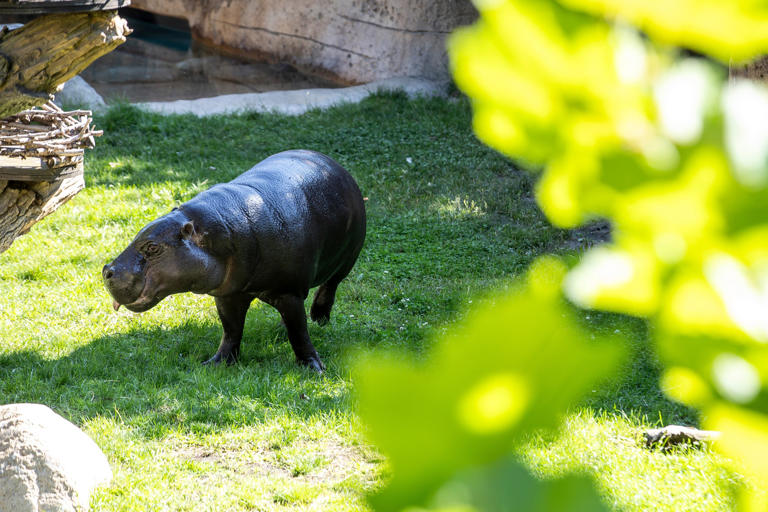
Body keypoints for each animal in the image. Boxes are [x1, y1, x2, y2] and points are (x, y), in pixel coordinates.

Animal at [102, 150, 366, 372]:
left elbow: (300, 333)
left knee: (329, 287)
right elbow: (231, 330)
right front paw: (216, 364)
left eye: (153, 247)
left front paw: (314, 368)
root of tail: (331, 162)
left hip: (347, 259)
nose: (107, 270)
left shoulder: (288, 292)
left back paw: (320, 319)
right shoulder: (227, 294)